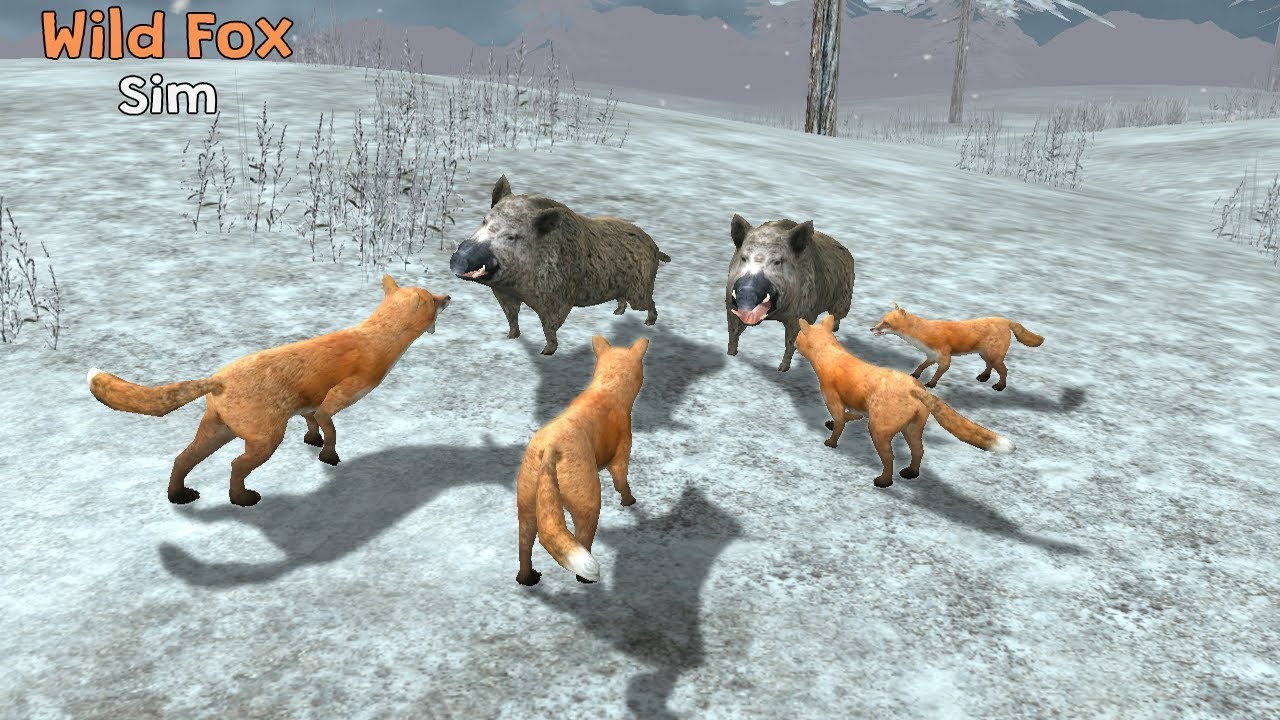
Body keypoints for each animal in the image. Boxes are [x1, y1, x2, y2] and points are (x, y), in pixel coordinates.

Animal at [87, 274, 451, 507]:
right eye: (433, 299)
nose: (450, 296)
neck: (375, 338)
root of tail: (219, 378)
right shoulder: (335, 399)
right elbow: (330, 429)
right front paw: (329, 456)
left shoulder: (307, 404)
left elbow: (313, 424)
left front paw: (312, 441)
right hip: (265, 440)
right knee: (234, 465)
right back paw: (241, 499)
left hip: (218, 431)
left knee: (182, 458)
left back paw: (178, 496)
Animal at [516, 335, 649, 586]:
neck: (608, 387)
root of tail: (550, 447)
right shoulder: (620, 457)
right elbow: (622, 483)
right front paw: (629, 502)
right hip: (588, 502)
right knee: (583, 539)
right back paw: (585, 579)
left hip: (527, 504)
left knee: (524, 544)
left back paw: (526, 578)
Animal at [795, 315, 1014, 488]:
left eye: (798, 335)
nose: (792, 341)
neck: (830, 355)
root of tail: (915, 388)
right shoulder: (854, 404)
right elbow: (847, 417)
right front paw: (834, 423)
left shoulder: (832, 399)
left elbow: (840, 422)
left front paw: (831, 442)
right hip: (912, 428)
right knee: (919, 450)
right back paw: (911, 473)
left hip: (879, 430)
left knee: (889, 457)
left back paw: (884, 482)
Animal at [869, 303, 1044, 391]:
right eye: (881, 320)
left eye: (886, 323)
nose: (871, 329)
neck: (923, 334)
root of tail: (1005, 320)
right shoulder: (932, 355)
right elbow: (921, 366)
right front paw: (915, 375)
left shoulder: (944, 358)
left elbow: (938, 373)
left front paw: (931, 384)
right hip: (986, 354)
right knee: (990, 366)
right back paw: (984, 377)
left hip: (993, 356)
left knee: (1004, 370)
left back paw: (1000, 386)